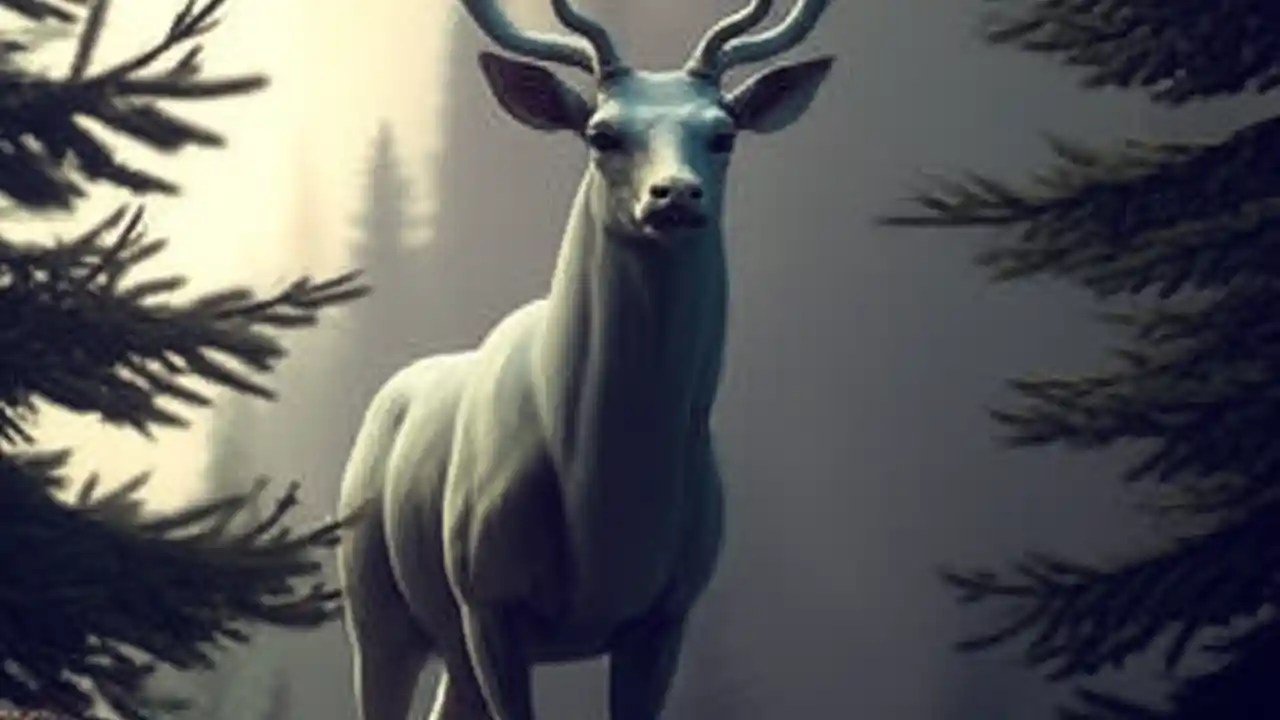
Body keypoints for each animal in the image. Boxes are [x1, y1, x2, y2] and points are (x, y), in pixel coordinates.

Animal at [336, 1, 833, 718]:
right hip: (374, 604)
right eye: (601, 134)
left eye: (723, 134)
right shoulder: (489, 597)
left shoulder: (667, 613)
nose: (674, 195)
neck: (604, 509)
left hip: (452, 644)